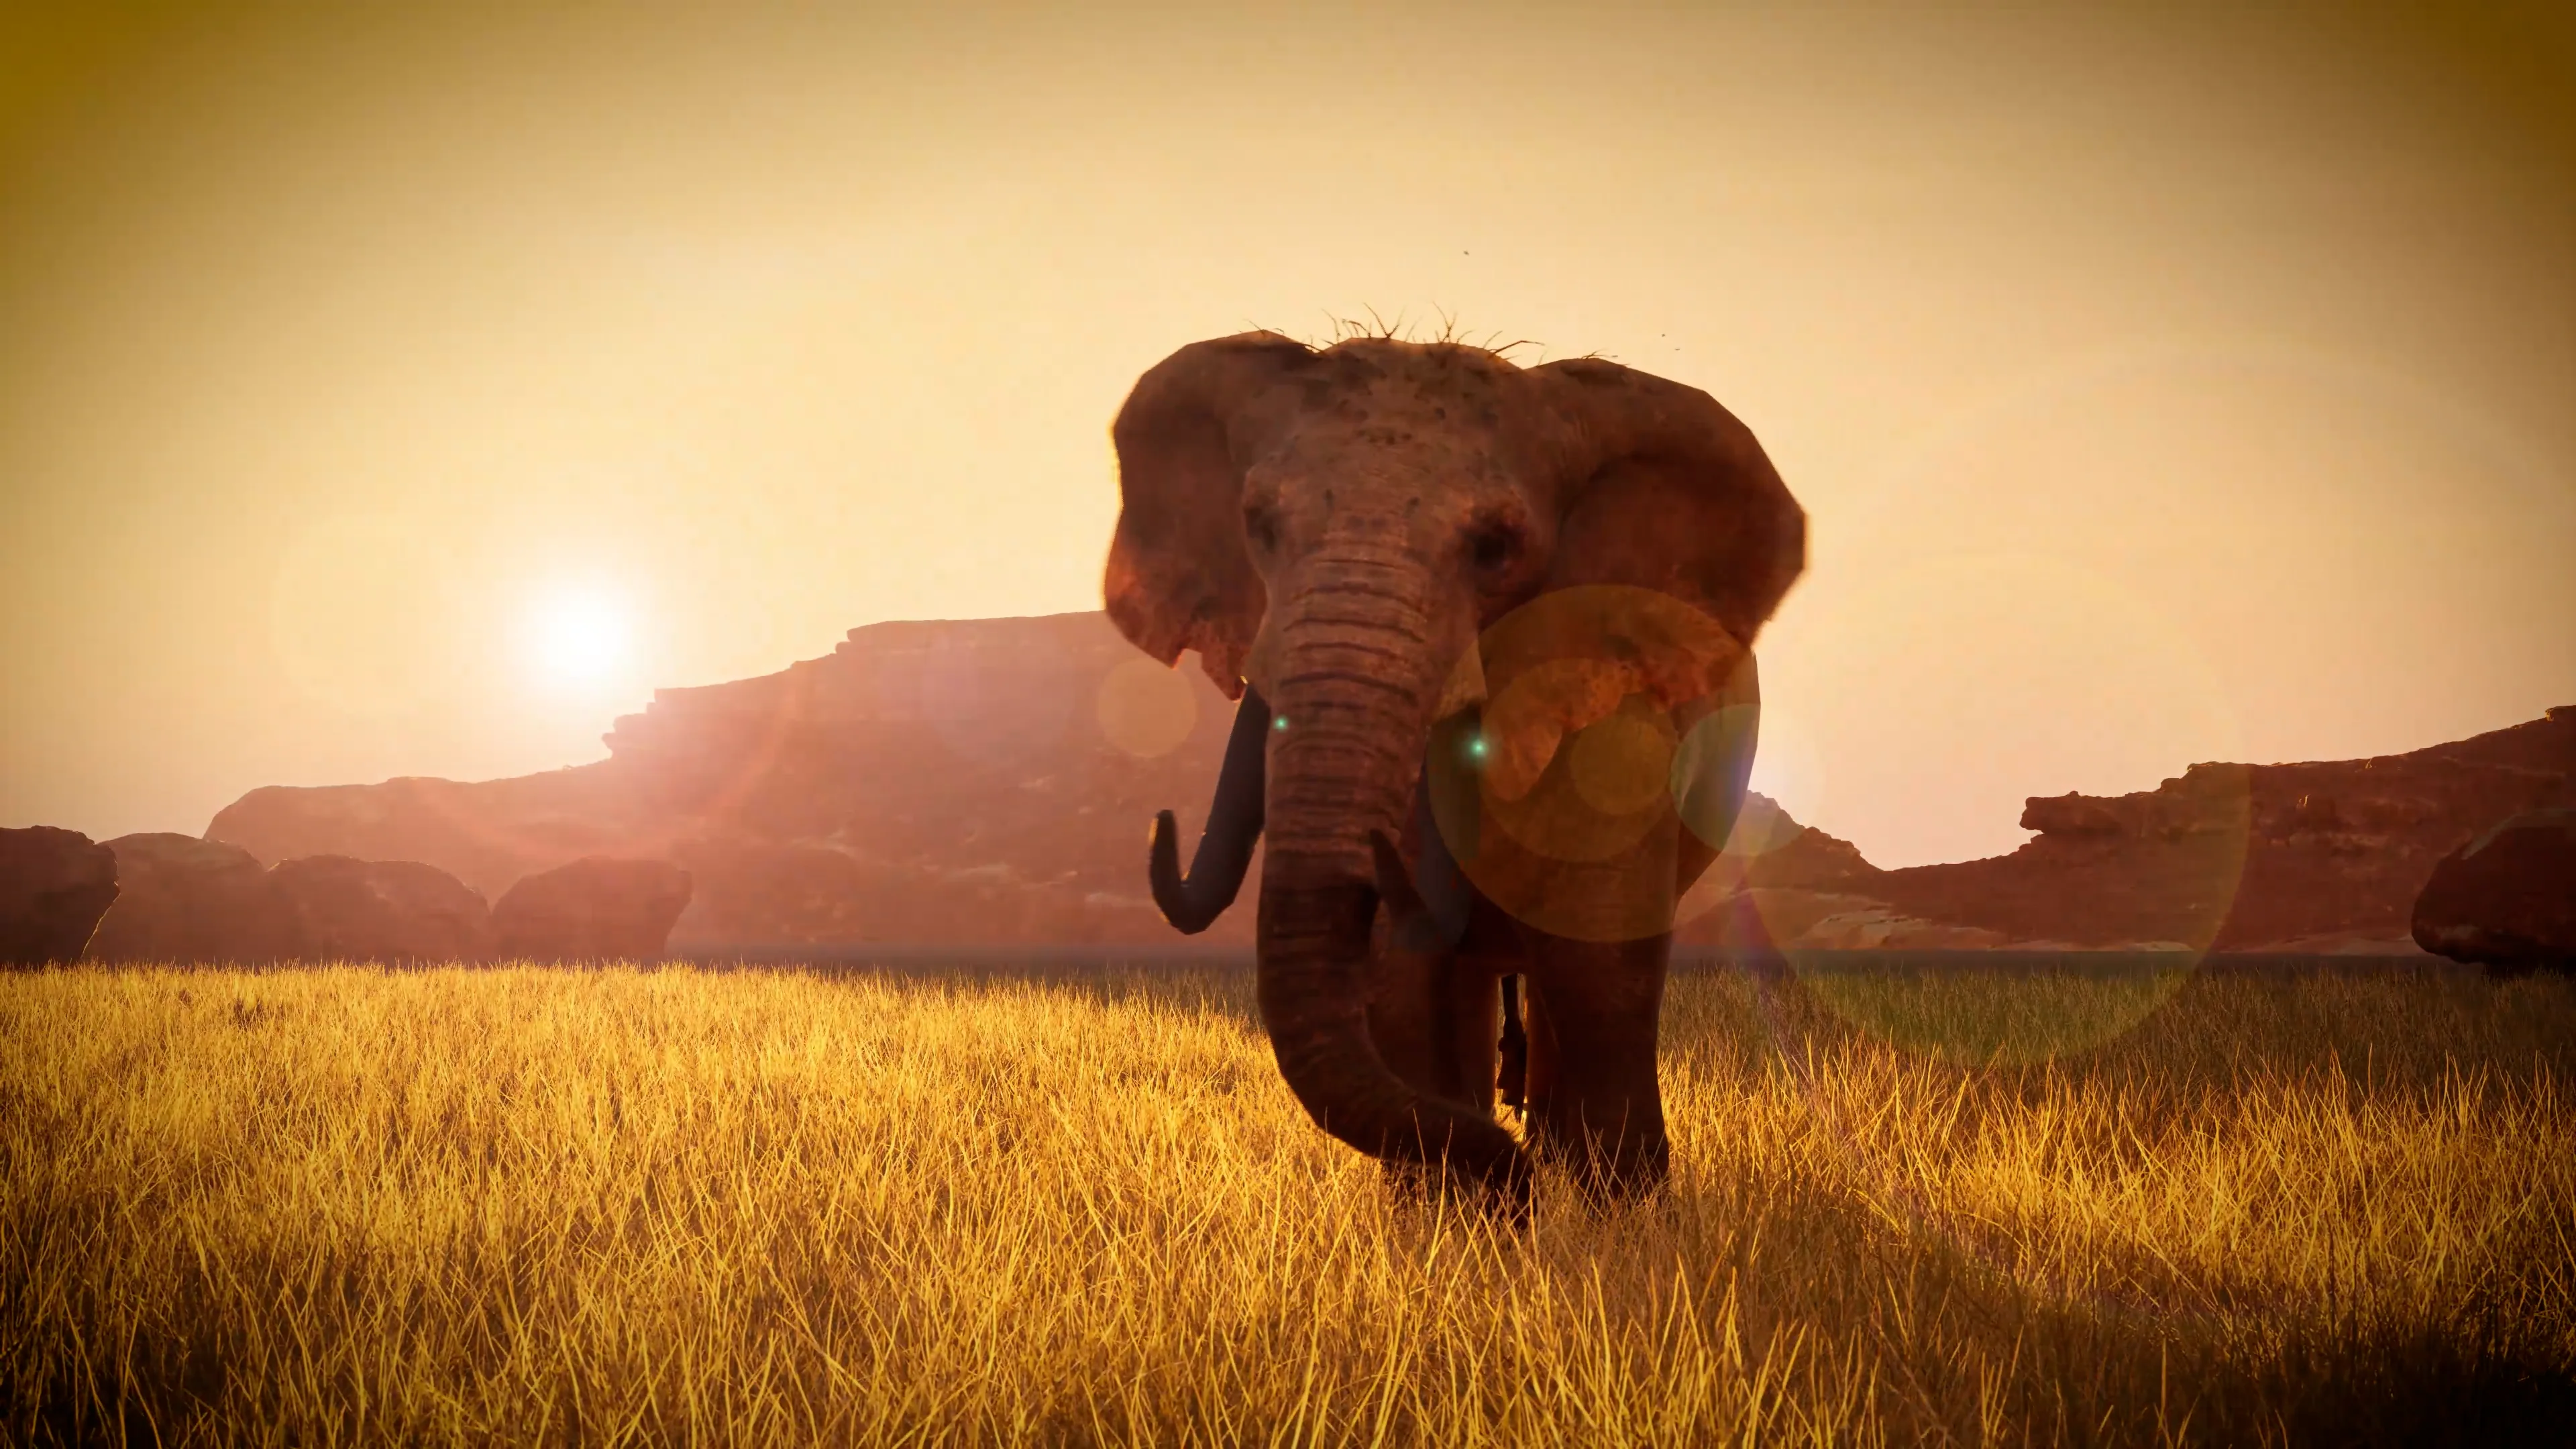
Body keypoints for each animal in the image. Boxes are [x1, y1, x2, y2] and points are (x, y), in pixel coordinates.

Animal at [1104, 331, 1804, 1205]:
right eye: (1257, 526)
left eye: (1495, 548)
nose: (1517, 1185)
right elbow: (1402, 980)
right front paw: (1449, 1214)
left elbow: (1599, 964)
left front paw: (1616, 1215)